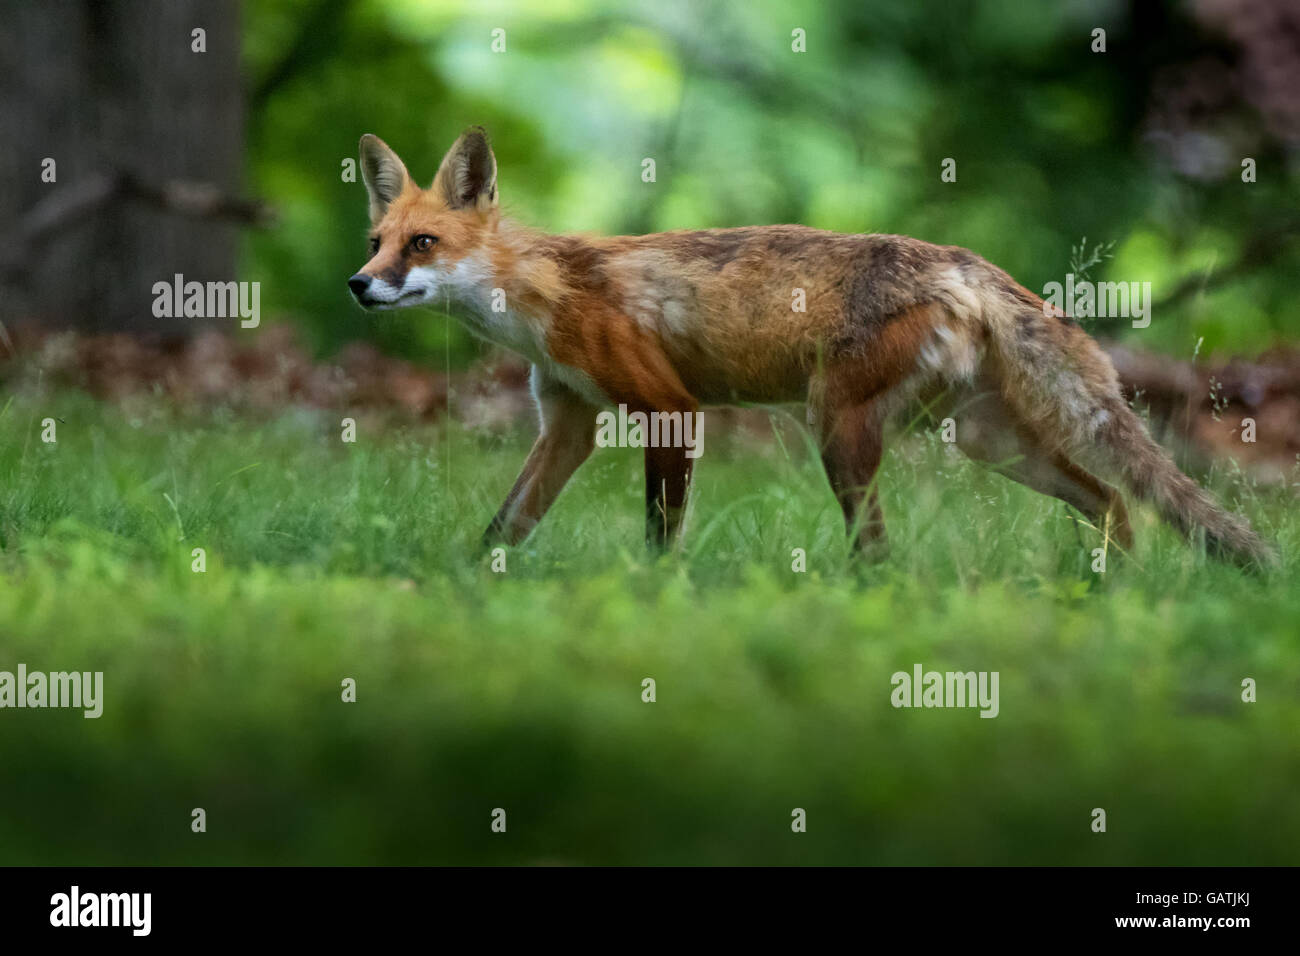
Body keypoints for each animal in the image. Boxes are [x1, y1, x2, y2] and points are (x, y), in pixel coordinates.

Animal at [348, 126, 1275, 567]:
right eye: (375, 242)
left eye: (423, 245)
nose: (358, 285)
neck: (548, 292)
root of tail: (965, 262)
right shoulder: (569, 421)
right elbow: (503, 527)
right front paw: (468, 587)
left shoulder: (670, 408)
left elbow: (659, 534)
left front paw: (655, 596)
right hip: (989, 439)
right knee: (1116, 502)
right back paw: (1114, 594)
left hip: (841, 425)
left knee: (881, 552)